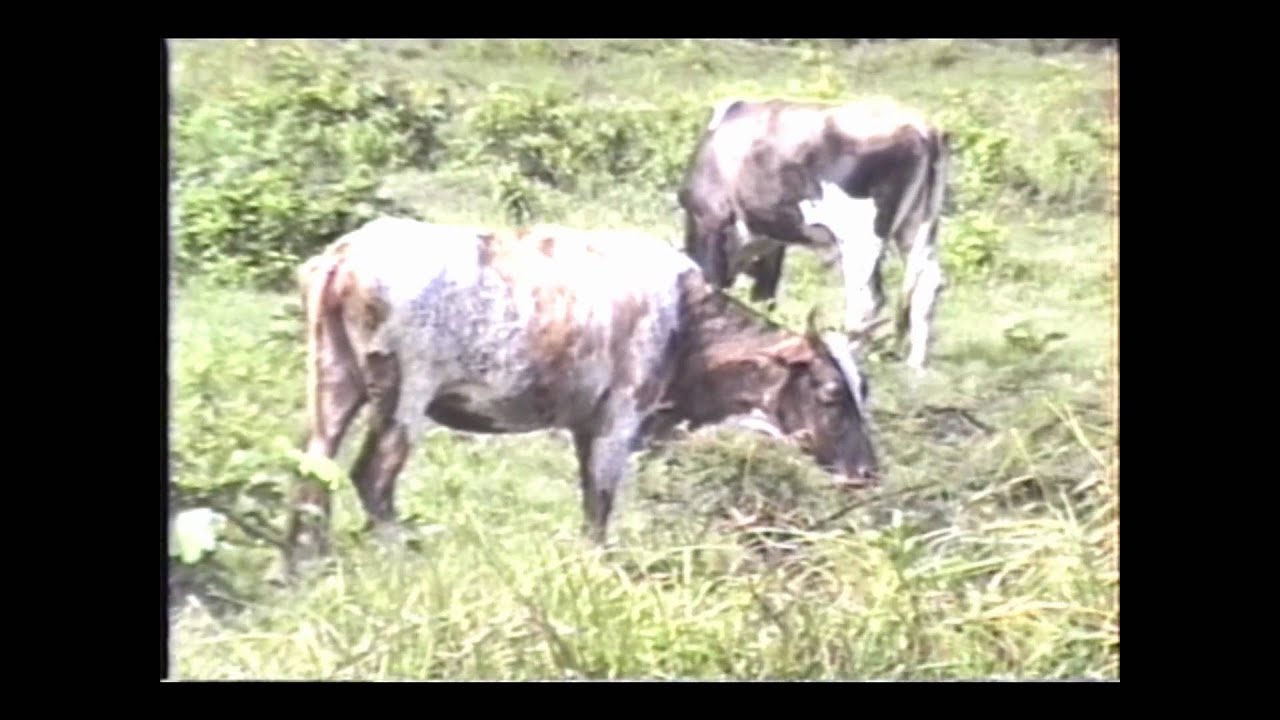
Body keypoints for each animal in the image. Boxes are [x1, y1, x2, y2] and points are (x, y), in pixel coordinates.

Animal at [283, 217, 883, 572]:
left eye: (862, 389)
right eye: (831, 393)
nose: (866, 472)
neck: (684, 320)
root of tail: (344, 255)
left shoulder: (584, 427)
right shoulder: (619, 422)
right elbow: (600, 507)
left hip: (333, 386)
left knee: (313, 474)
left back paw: (303, 567)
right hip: (405, 398)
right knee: (372, 479)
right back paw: (409, 561)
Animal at [676, 96, 951, 371]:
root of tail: (920, 125)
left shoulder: (711, 220)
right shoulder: (773, 241)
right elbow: (765, 295)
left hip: (859, 240)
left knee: (867, 299)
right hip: (916, 227)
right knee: (927, 285)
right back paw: (915, 364)